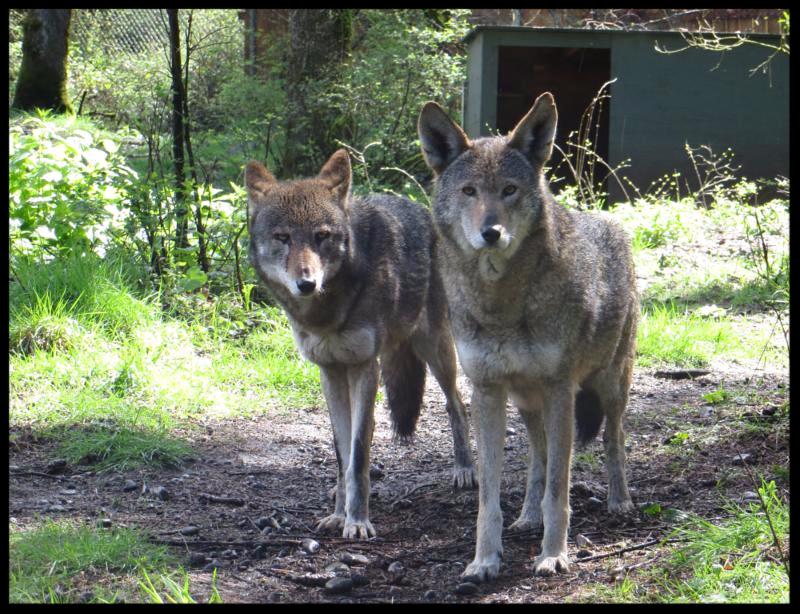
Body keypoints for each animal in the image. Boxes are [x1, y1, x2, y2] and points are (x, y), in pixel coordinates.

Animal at [244, 149, 476, 539]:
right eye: (283, 237)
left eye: (322, 236)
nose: (306, 283)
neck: (327, 312)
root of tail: (419, 208)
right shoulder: (331, 372)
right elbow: (342, 456)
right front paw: (339, 515)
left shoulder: (365, 369)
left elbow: (358, 456)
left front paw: (357, 522)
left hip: (435, 348)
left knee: (456, 404)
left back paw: (466, 470)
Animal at [418, 92, 638, 580]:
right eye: (469, 191)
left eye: (509, 190)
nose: (491, 232)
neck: (503, 304)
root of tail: (611, 223)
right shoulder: (487, 390)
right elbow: (491, 496)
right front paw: (484, 560)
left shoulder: (560, 389)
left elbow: (560, 486)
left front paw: (553, 553)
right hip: (526, 400)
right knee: (538, 454)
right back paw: (527, 517)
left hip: (609, 385)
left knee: (612, 441)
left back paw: (620, 501)